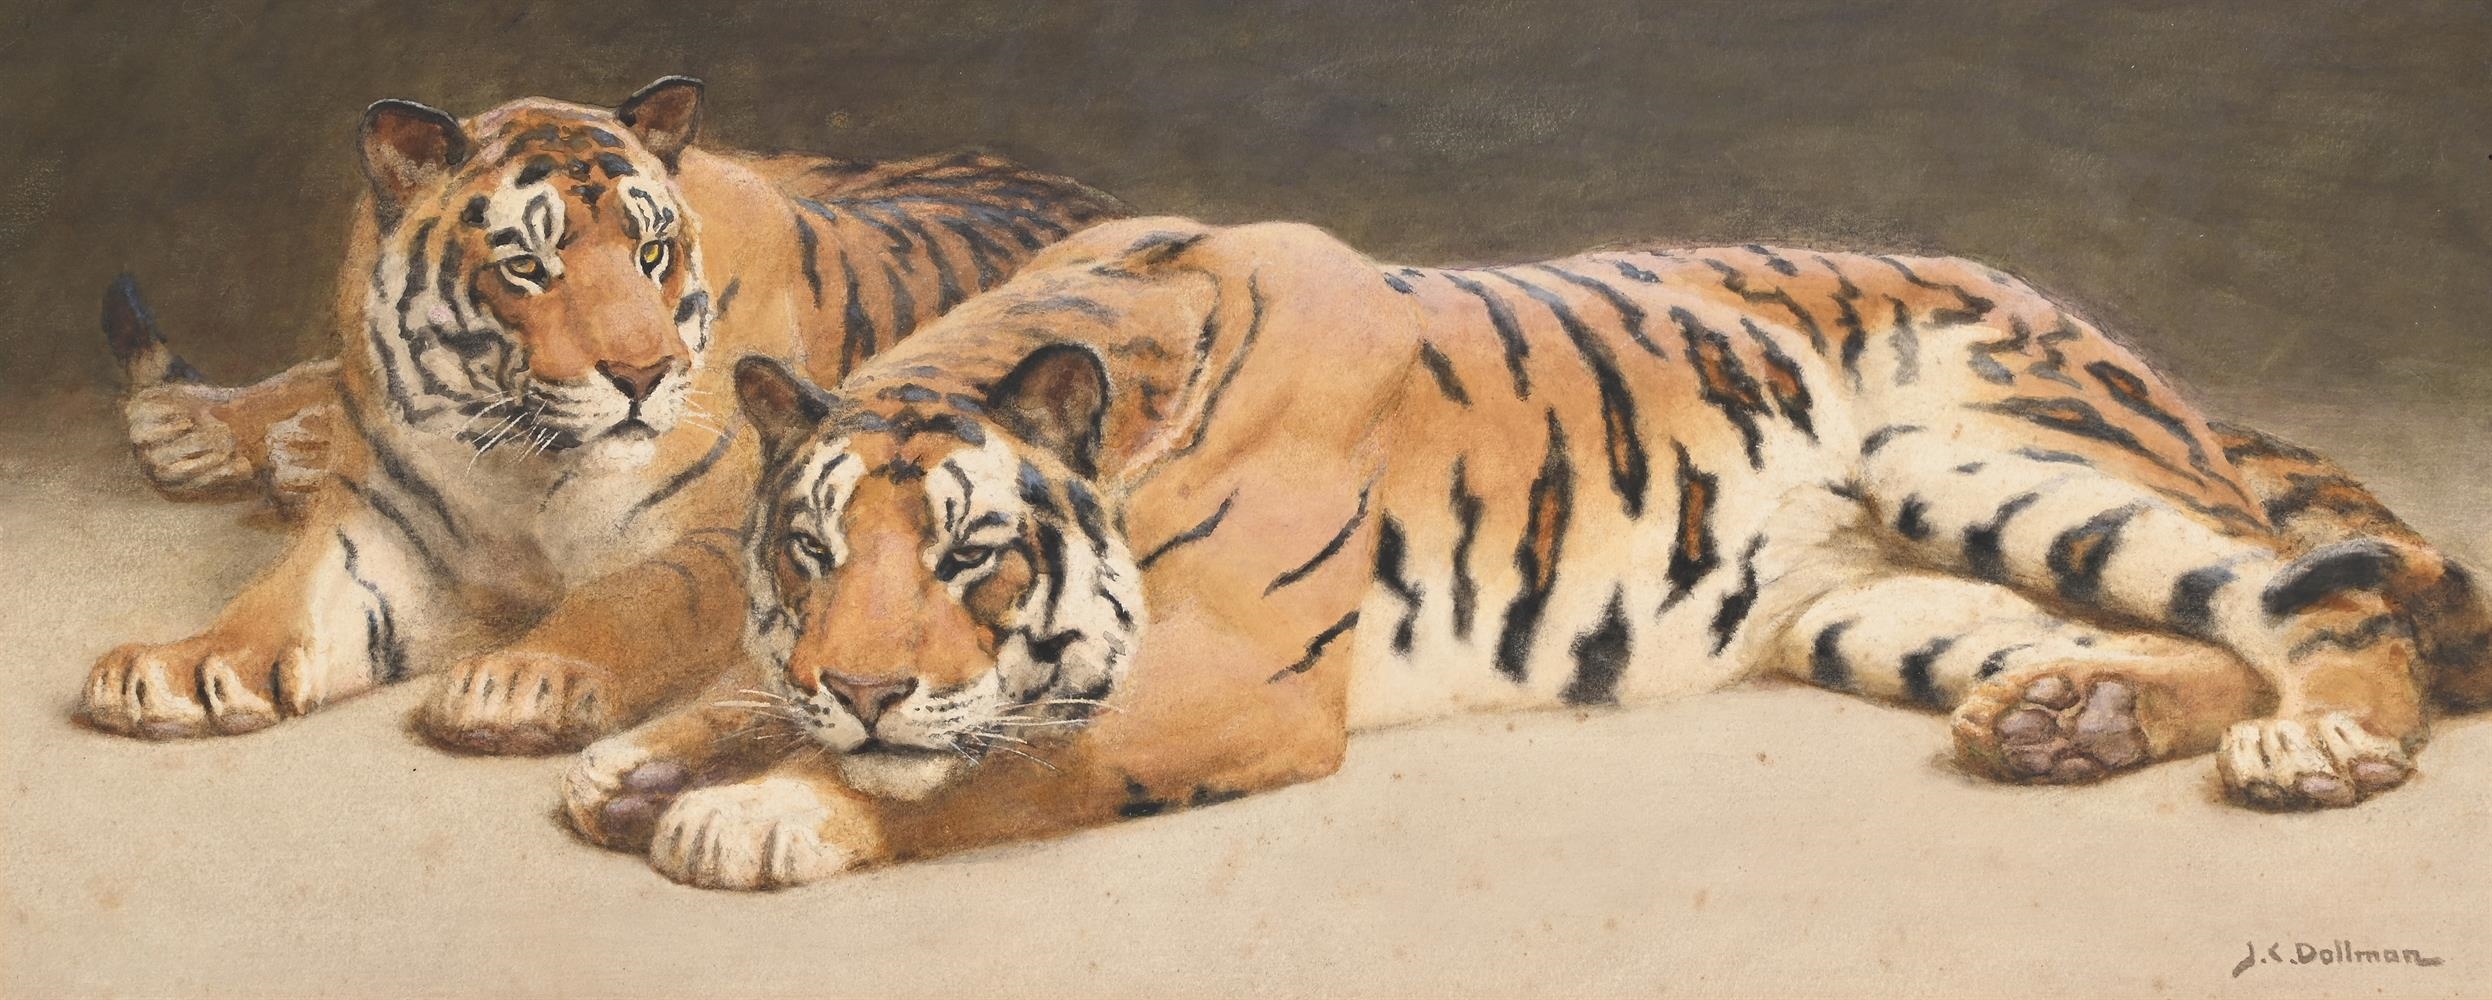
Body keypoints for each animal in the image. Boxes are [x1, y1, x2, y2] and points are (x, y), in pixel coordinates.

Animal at [79, 77, 1127, 753]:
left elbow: (628, 599)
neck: (505, 445)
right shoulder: (383, 526)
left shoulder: (718, 543)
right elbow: (277, 601)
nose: (644, 372)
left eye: (652, 252)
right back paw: (197, 423)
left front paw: (521, 681)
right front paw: (184, 670)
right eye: (527, 265)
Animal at [548, 216, 2491, 890]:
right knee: (2188, 637)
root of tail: (2136, 358)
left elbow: (971, 772)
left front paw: (768, 809)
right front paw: (644, 762)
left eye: (975, 563)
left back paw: (2318, 747)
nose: (866, 684)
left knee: (2312, 605)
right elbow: (744, 700)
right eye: (807, 560)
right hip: (1877, 602)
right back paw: (2065, 722)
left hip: (1994, 453)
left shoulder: (1231, 686)